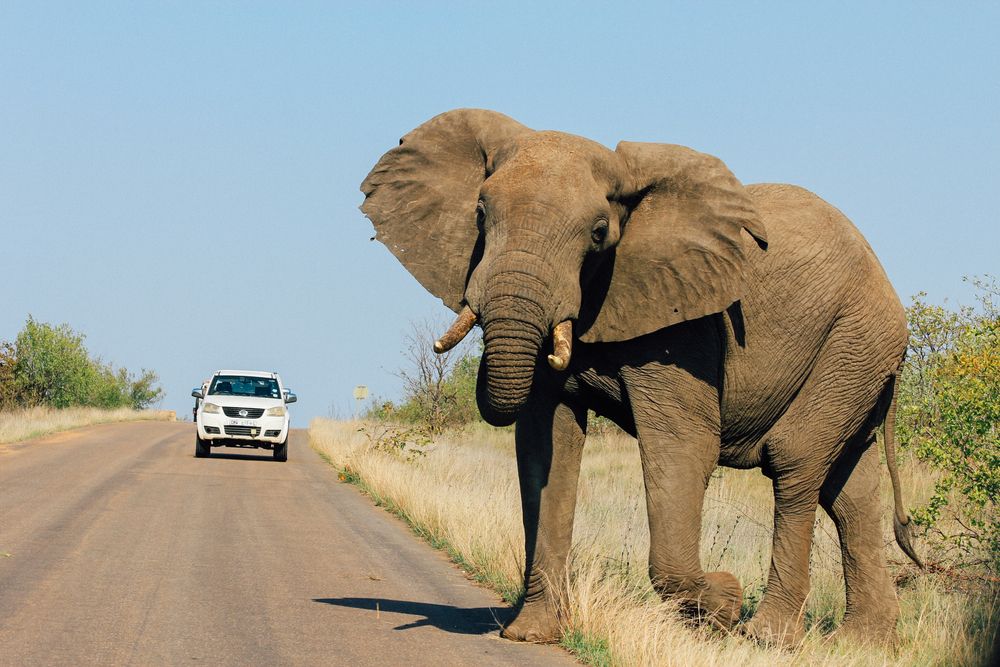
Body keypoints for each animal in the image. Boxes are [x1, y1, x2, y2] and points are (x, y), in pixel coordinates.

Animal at [359, 109, 922, 646]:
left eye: (598, 233)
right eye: (480, 213)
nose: (730, 593)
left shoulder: (684, 329)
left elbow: (682, 446)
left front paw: (724, 603)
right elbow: (546, 446)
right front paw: (530, 635)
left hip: (855, 338)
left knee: (795, 459)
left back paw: (769, 637)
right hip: (858, 360)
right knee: (849, 491)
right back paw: (861, 642)